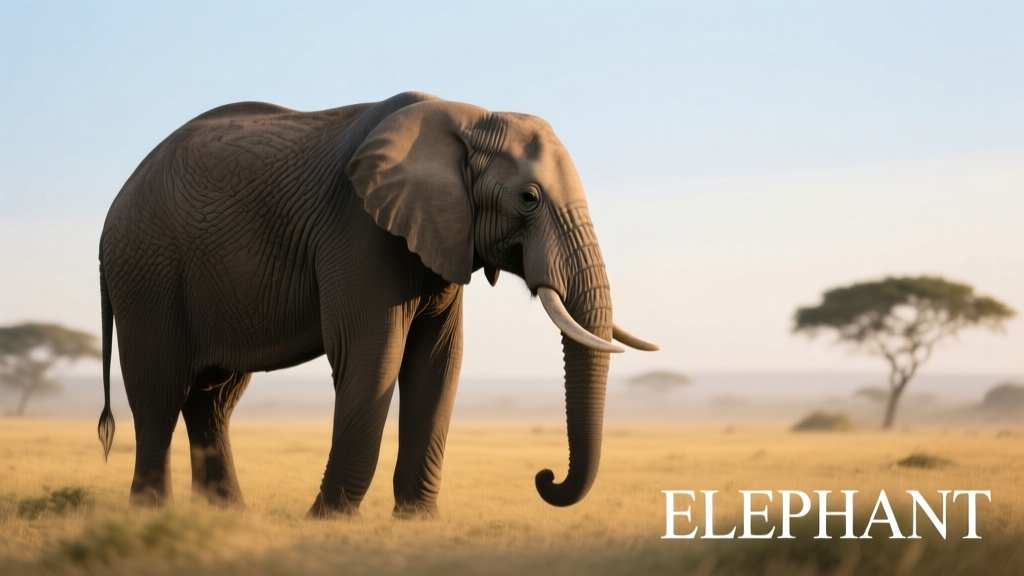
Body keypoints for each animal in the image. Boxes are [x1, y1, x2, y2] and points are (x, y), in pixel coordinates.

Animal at [96, 91, 658, 517]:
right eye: (529, 198)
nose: (545, 475)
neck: (467, 118)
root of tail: (112, 209)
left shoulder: (438, 240)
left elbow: (439, 363)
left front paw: (417, 520)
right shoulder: (359, 231)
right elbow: (373, 358)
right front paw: (327, 520)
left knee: (212, 397)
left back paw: (230, 515)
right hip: (148, 271)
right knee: (159, 391)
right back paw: (150, 515)